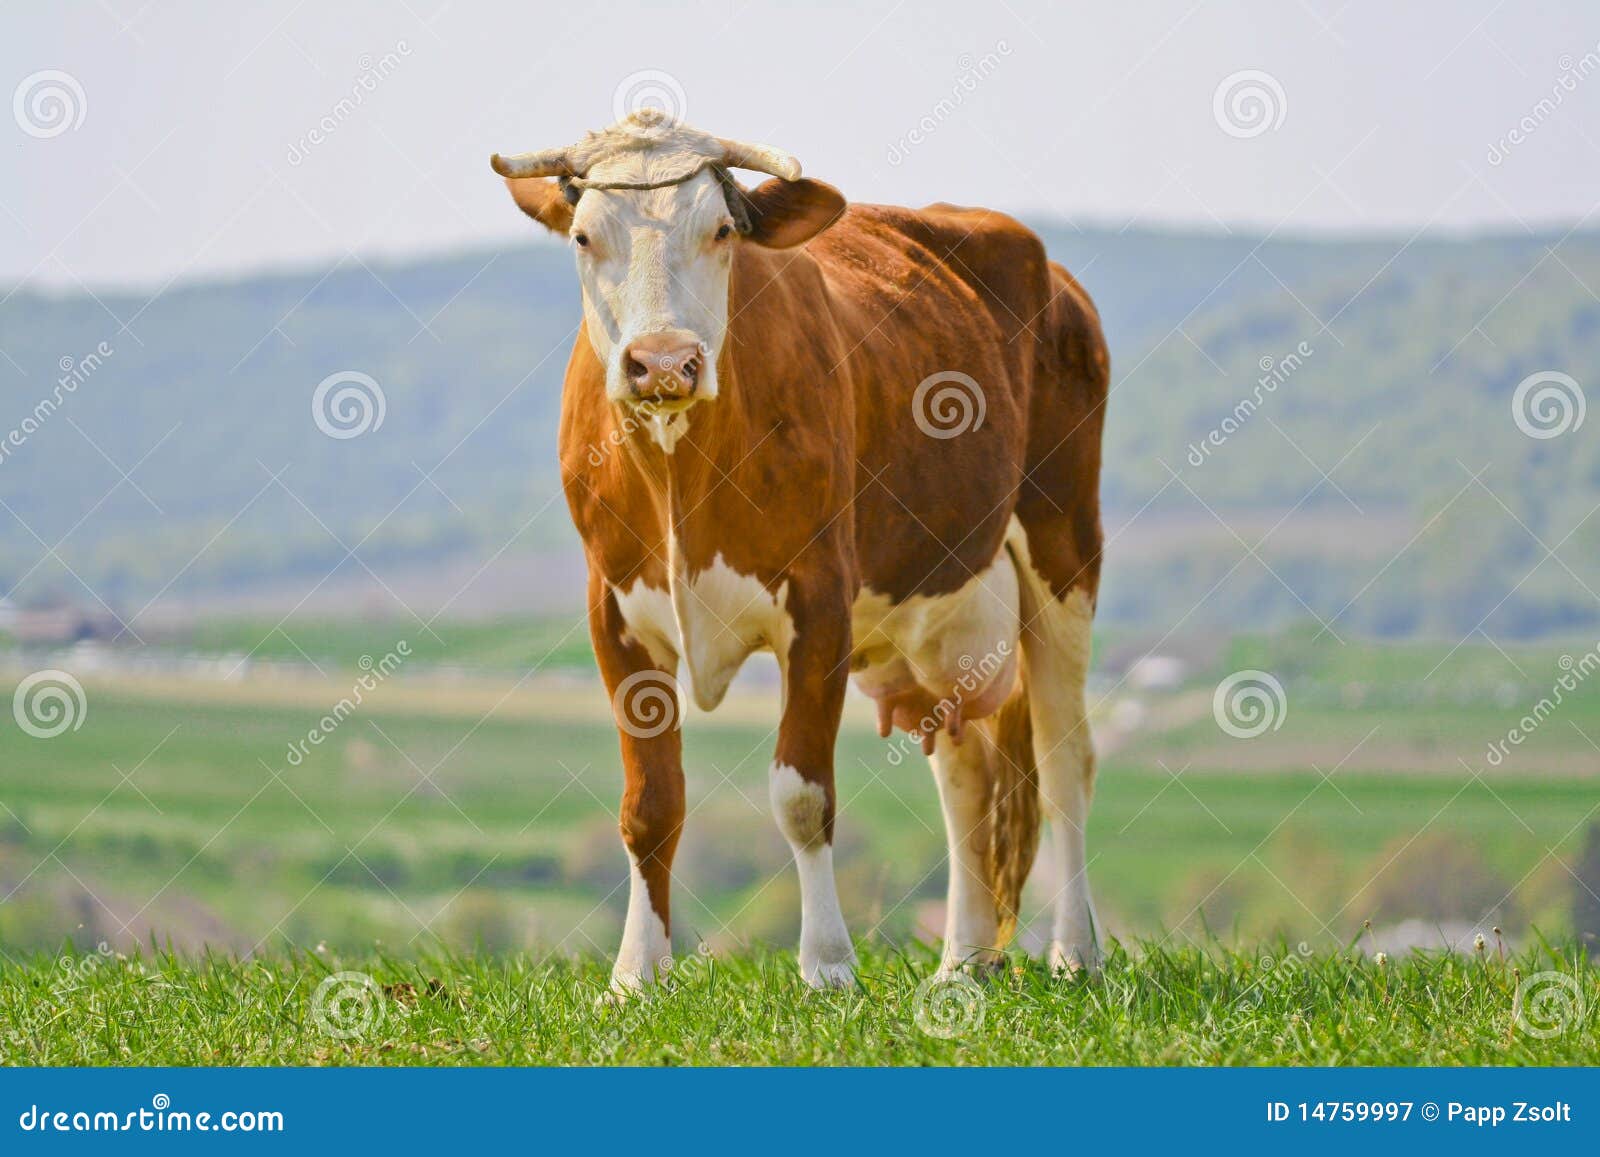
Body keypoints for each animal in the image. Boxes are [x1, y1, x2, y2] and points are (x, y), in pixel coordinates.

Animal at [492, 109, 1108, 993]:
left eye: (721, 230)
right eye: (583, 235)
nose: (663, 361)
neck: (680, 471)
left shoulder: (820, 603)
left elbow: (801, 796)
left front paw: (827, 965)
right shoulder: (614, 612)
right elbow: (650, 804)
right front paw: (636, 972)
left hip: (1064, 547)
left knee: (1065, 762)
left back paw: (1075, 950)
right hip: (943, 606)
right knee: (968, 778)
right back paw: (961, 963)